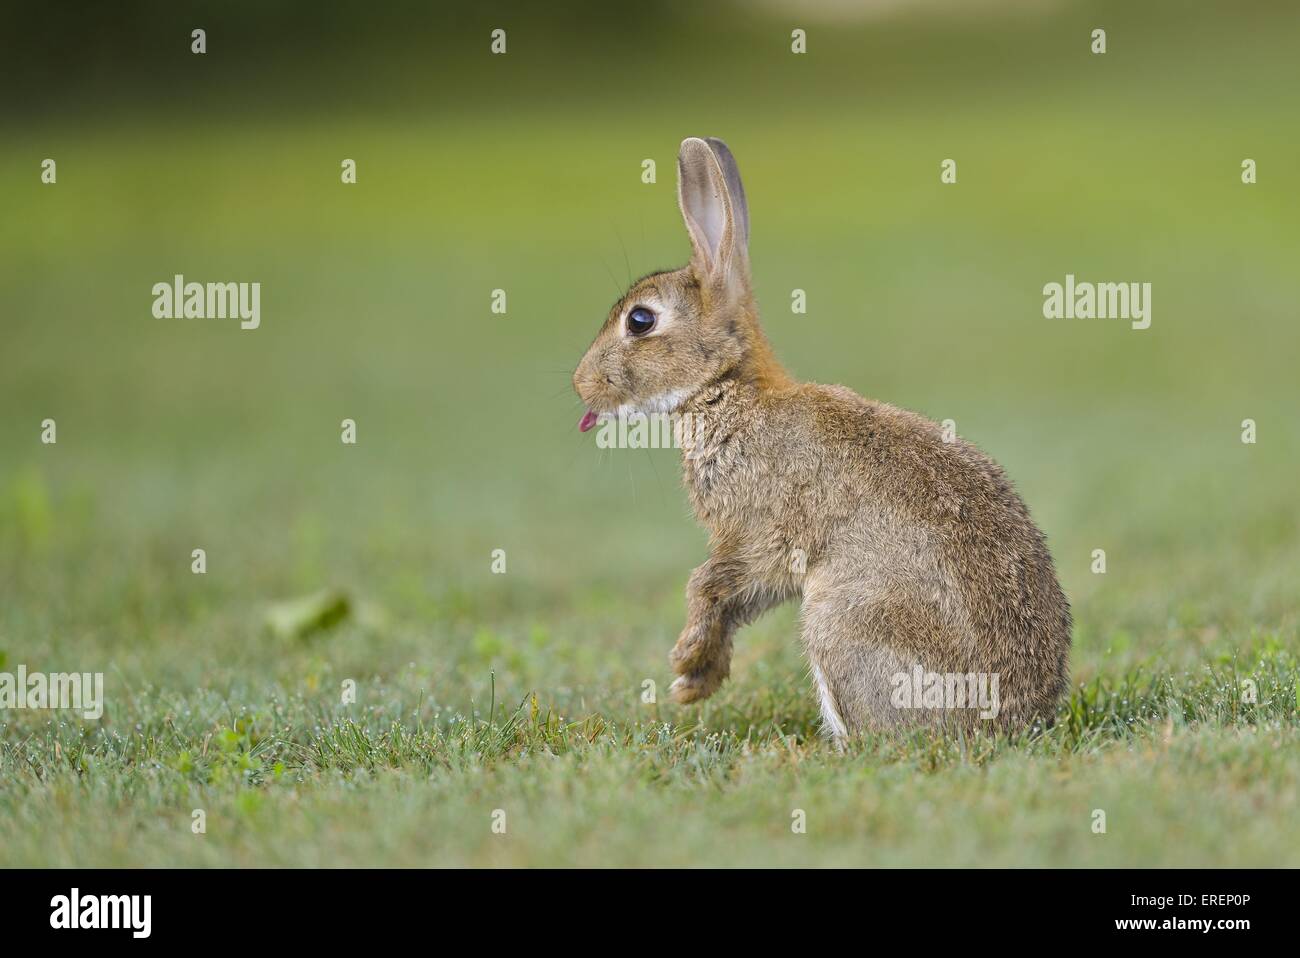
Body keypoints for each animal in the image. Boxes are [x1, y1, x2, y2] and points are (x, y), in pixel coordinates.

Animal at [573, 137, 1071, 740]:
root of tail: (1015, 722)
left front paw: (687, 667)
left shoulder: (762, 534)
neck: (730, 392)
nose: (579, 383)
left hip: (839, 620)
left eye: (640, 321)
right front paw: (699, 679)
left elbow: (709, 582)